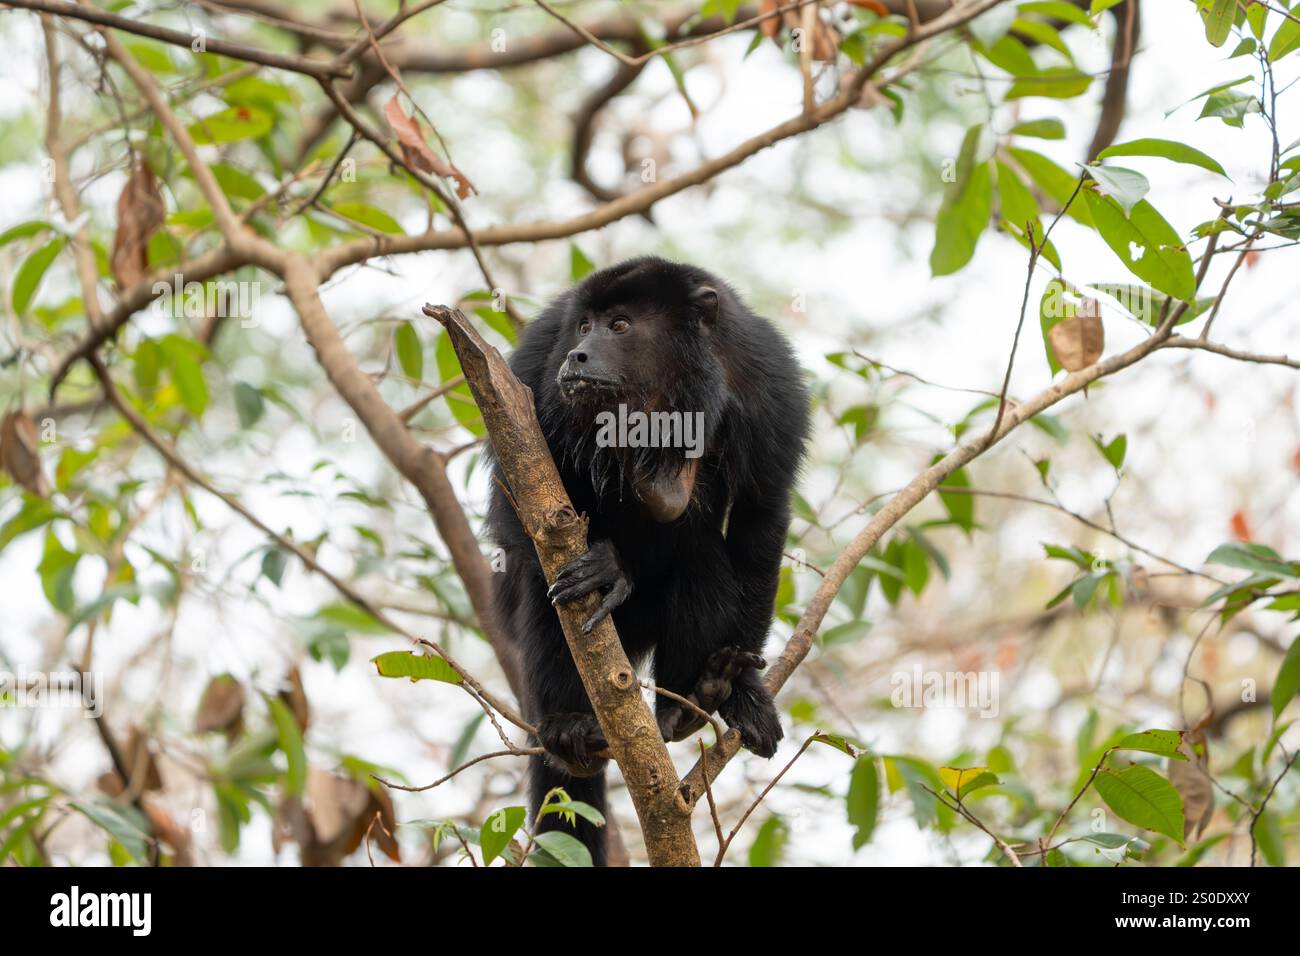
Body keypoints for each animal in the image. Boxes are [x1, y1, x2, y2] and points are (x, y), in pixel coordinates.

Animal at [486, 257, 809, 865]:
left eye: (620, 326)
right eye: (583, 326)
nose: (578, 354)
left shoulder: (772, 385)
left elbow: (761, 515)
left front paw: (745, 690)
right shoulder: (536, 362)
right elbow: (518, 495)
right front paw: (609, 567)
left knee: (702, 559)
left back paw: (692, 698)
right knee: (544, 599)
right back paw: (568, 729)